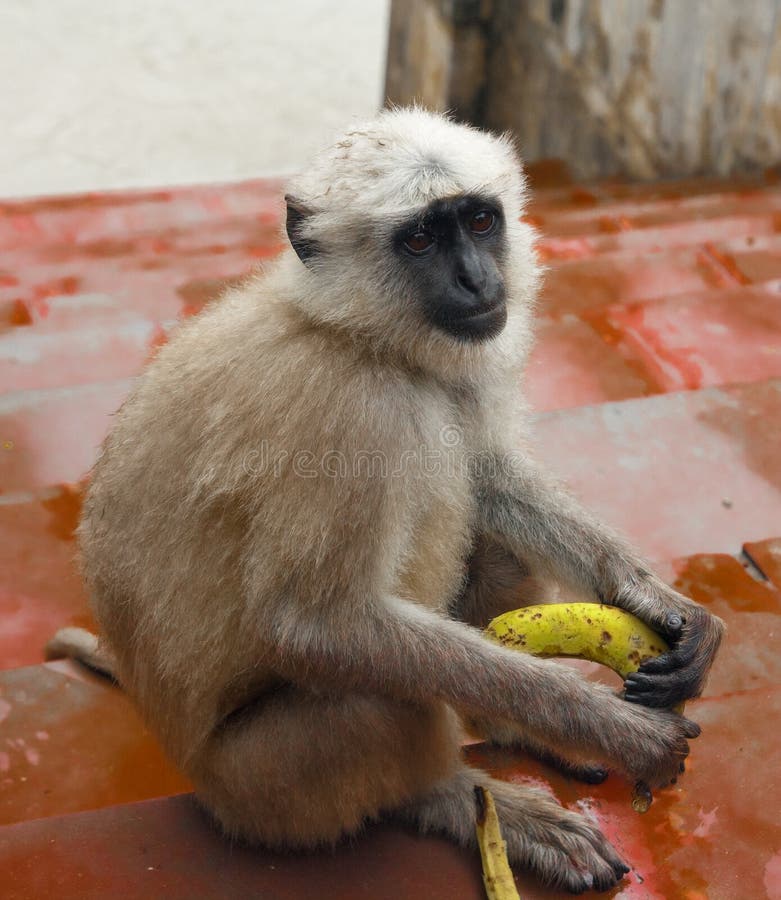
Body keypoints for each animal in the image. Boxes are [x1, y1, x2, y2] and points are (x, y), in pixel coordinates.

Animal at [47, 108, 724, 894]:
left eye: (480, 221)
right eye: (421, 240)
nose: (475, 277)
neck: (348, 331)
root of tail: (195, 775)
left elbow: (490, 472)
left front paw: (662, 605)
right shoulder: (354, 408)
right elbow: (316, 627)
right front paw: (616, 730)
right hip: (264, 787)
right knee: (373, 683)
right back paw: (458, 797)